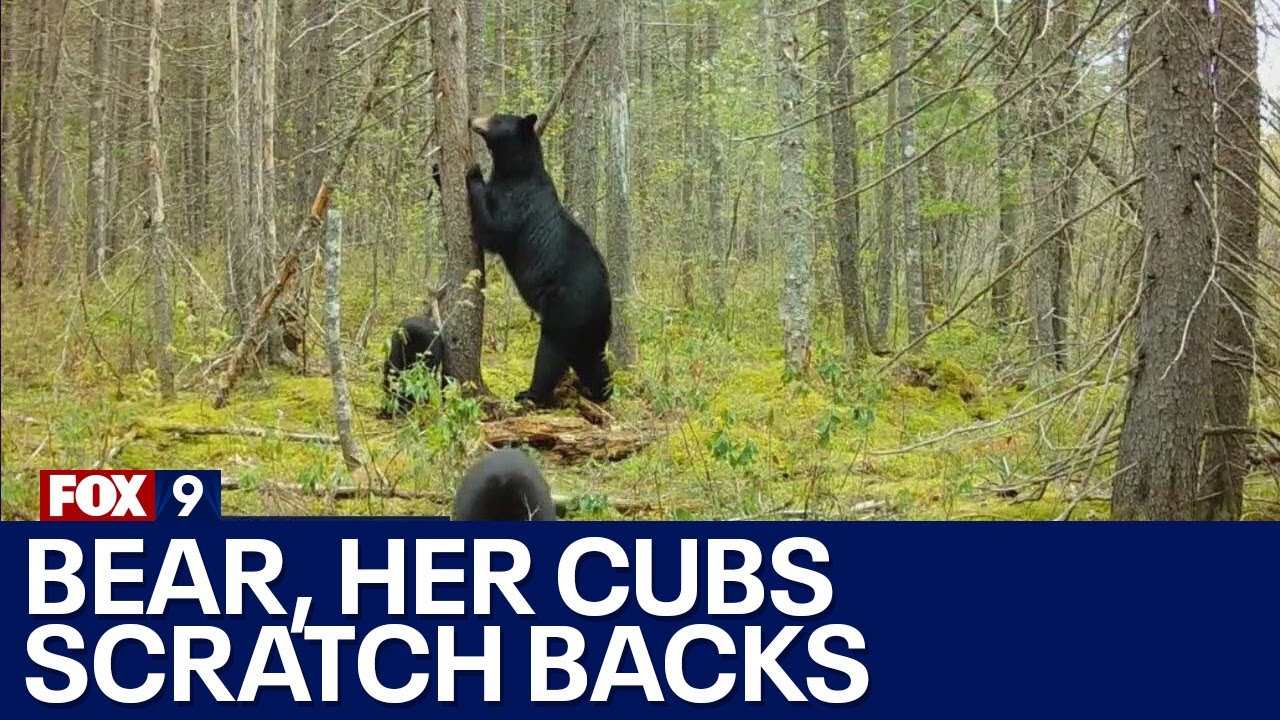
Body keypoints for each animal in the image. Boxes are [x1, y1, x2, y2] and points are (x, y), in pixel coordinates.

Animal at [464, 112, 614, 407]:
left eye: (497, 117)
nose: (472, 119)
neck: (515, 171)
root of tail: (606, 304)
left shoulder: (518, 204)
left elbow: (493, 230)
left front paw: (474, 173)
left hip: (565, 310)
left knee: (551, 353)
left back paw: (530, 394)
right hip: (589, 331)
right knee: (591, 360)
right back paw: (598, 391)